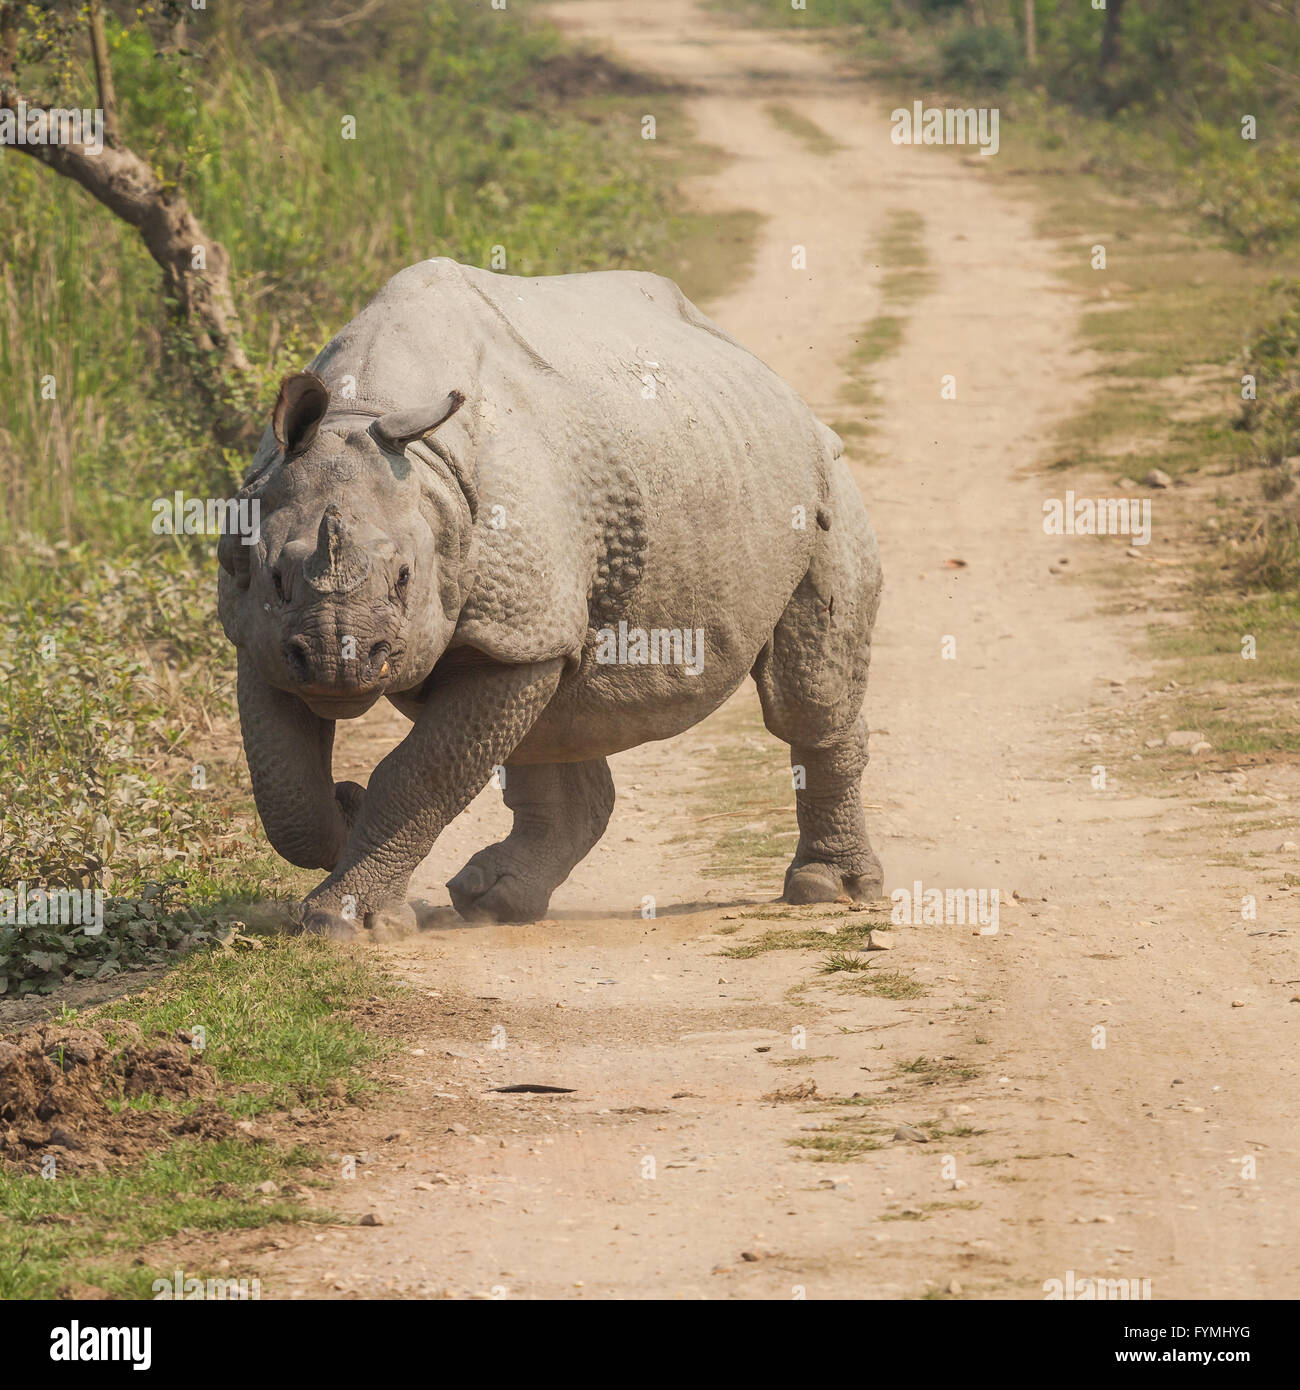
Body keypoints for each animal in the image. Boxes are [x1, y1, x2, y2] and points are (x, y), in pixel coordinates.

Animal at [218, 257, 882, 935]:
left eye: (404, 577)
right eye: (277, 580)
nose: (337, 661)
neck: (361, 413)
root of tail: (777, 382)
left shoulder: (515, 627)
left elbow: (416, 776)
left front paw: (347, 923)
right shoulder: (258, 633)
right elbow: (285, 792)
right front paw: (343, 816)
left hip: (820, 478)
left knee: (806, 693)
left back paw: (828, 889)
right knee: (561, 715)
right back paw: (493, 900)